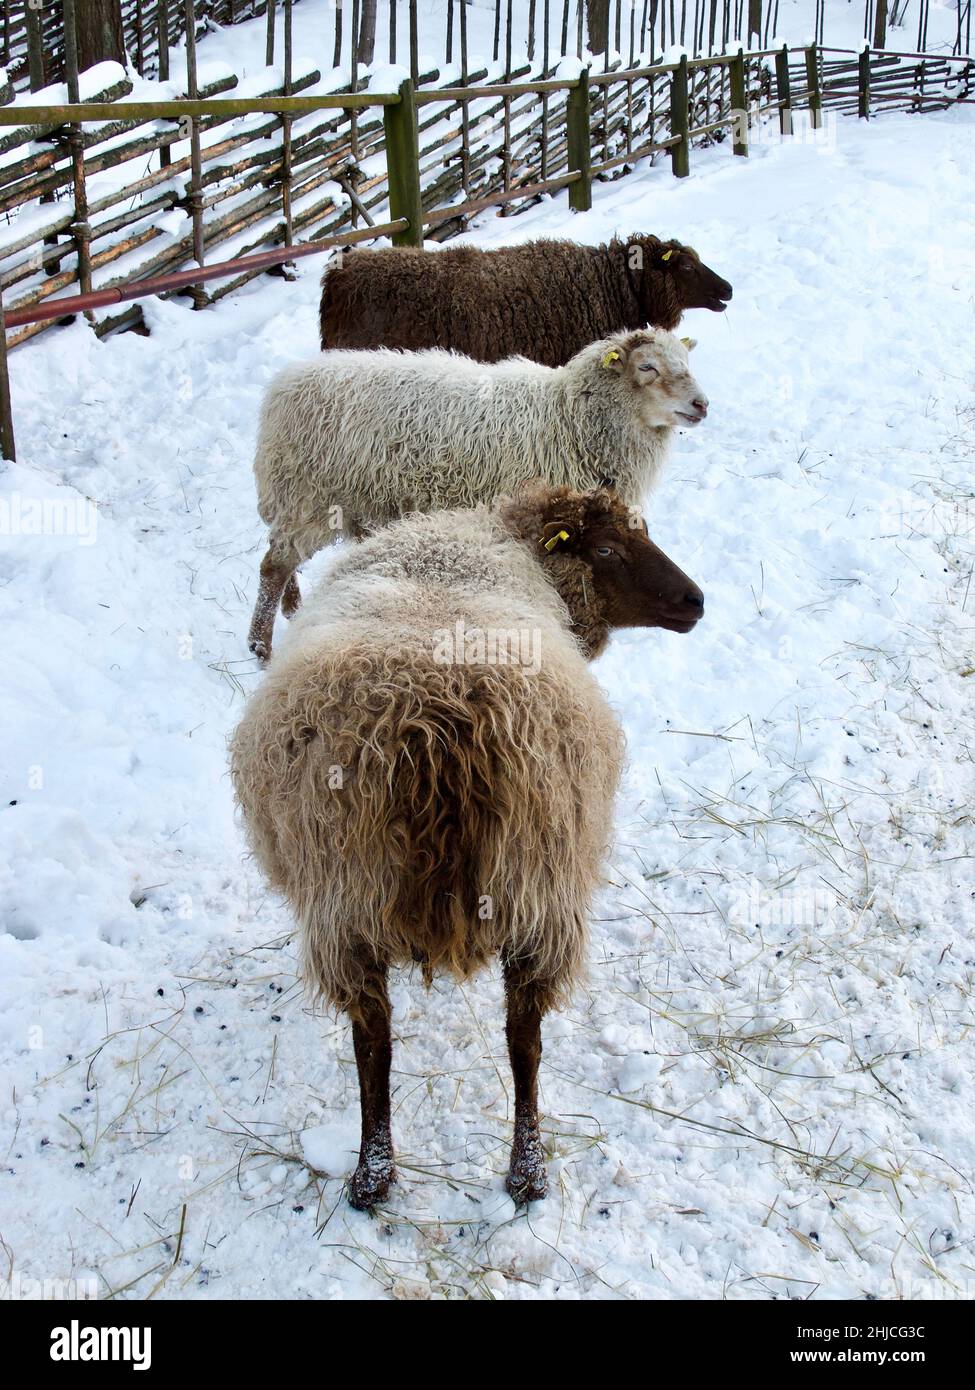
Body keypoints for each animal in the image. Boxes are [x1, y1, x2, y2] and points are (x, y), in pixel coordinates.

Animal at [230, 483, 704, 1209]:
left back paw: (411, 1173)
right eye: (604, 550)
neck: (499, 535)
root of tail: (441, 729)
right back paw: (479, 1172)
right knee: (499, 1036)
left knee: (406, 1037)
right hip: (505, 883)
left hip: (397, 895)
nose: (695, 601)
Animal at [247, 327, 708, 662]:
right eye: (647, 367)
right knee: (273, 566)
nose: (701, 404)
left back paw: (292, 608)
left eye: (686, 363)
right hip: (309, 498)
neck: (569, 418)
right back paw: (260, 645)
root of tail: (280, 390)